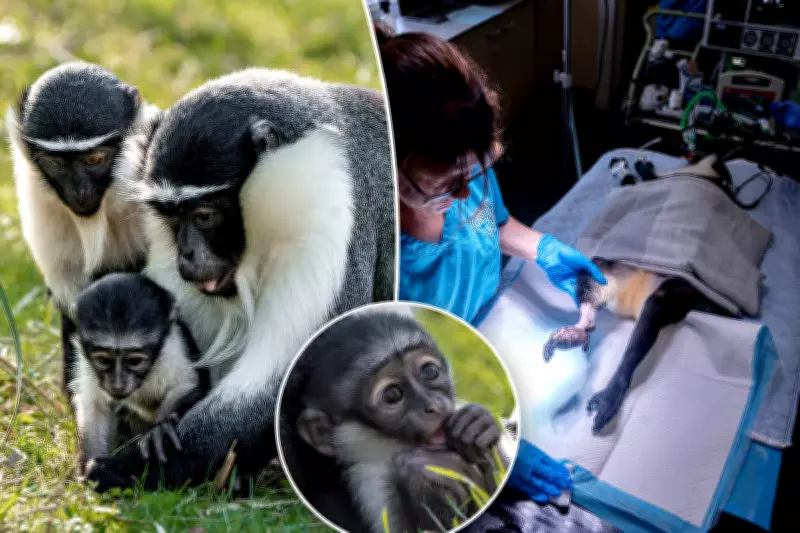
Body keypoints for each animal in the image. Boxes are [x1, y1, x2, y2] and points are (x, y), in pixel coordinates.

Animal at [68, 272, 209, 473]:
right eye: (103, 360)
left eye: (134, 361)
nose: (117, 384)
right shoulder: (85, 360)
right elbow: (95, 405)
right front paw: (88, 467)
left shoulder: (173, 349)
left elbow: (189, 385)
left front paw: (162, 429)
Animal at [277, 311, 511, 533]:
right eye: (392, 395)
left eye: (429, 371)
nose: (433, 406)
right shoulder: (370, 482)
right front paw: (421, 473)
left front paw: (477, 425)